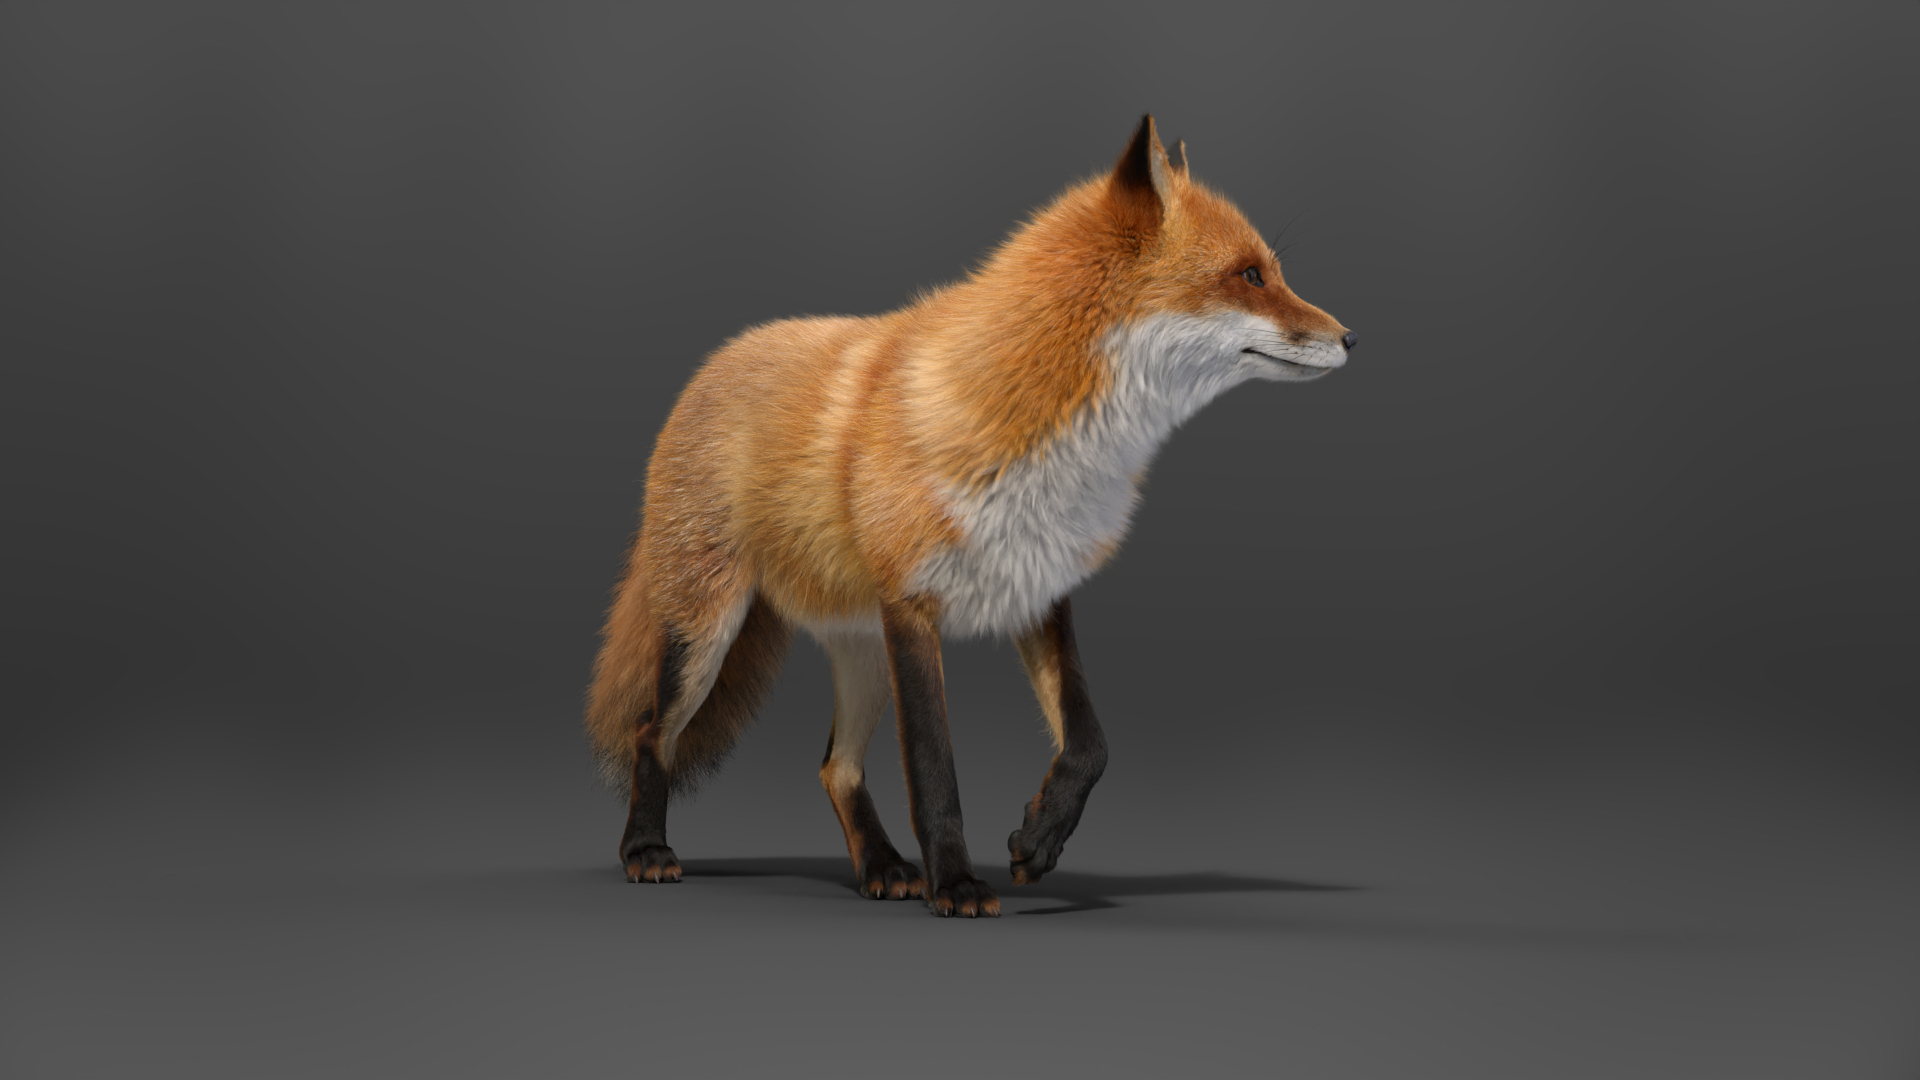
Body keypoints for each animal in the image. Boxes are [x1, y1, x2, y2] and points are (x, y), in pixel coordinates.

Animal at [586, 115, 1353, 917]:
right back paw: (646, 850)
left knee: (836, 767)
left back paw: (883, 867)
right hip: (709, 636)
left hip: (861, 651)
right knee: (651, 732)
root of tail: (714, 362)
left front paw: (1038, 841)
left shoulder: (1037, 588)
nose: (1352, 338)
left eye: (1273, 272)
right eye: (1251, 276)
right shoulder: (912, 607)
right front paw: (955, 883)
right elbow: (934, 770)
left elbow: (1090, 743)